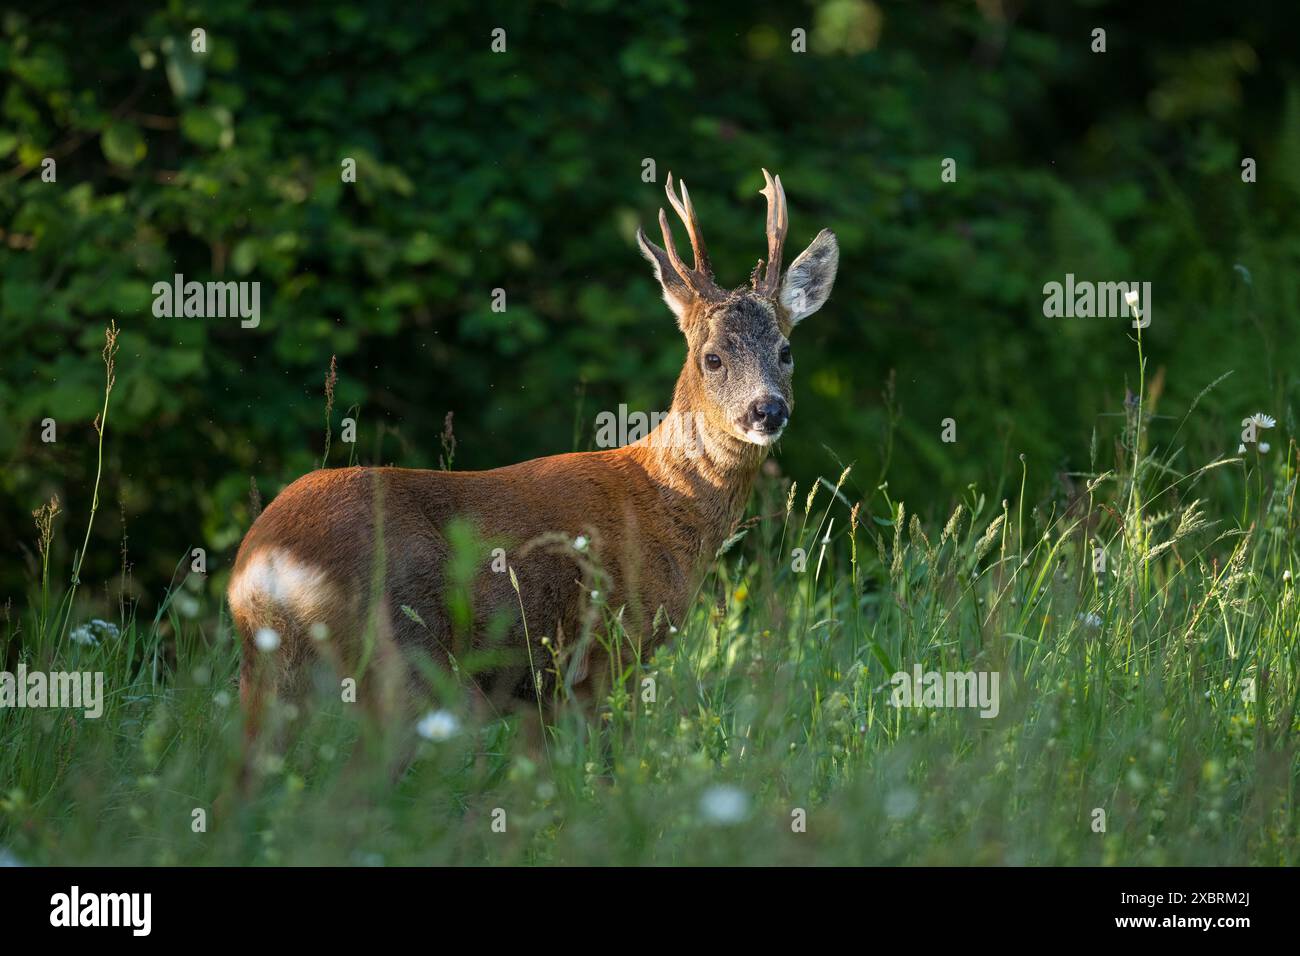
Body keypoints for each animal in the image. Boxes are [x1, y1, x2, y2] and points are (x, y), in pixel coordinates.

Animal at [228, 169, 839, 739]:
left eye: (785, 350)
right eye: (712, 358)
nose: (767, 411)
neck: (661, 499)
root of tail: (260, 566)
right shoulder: (611, 652)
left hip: (275, 676)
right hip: (400, 658)